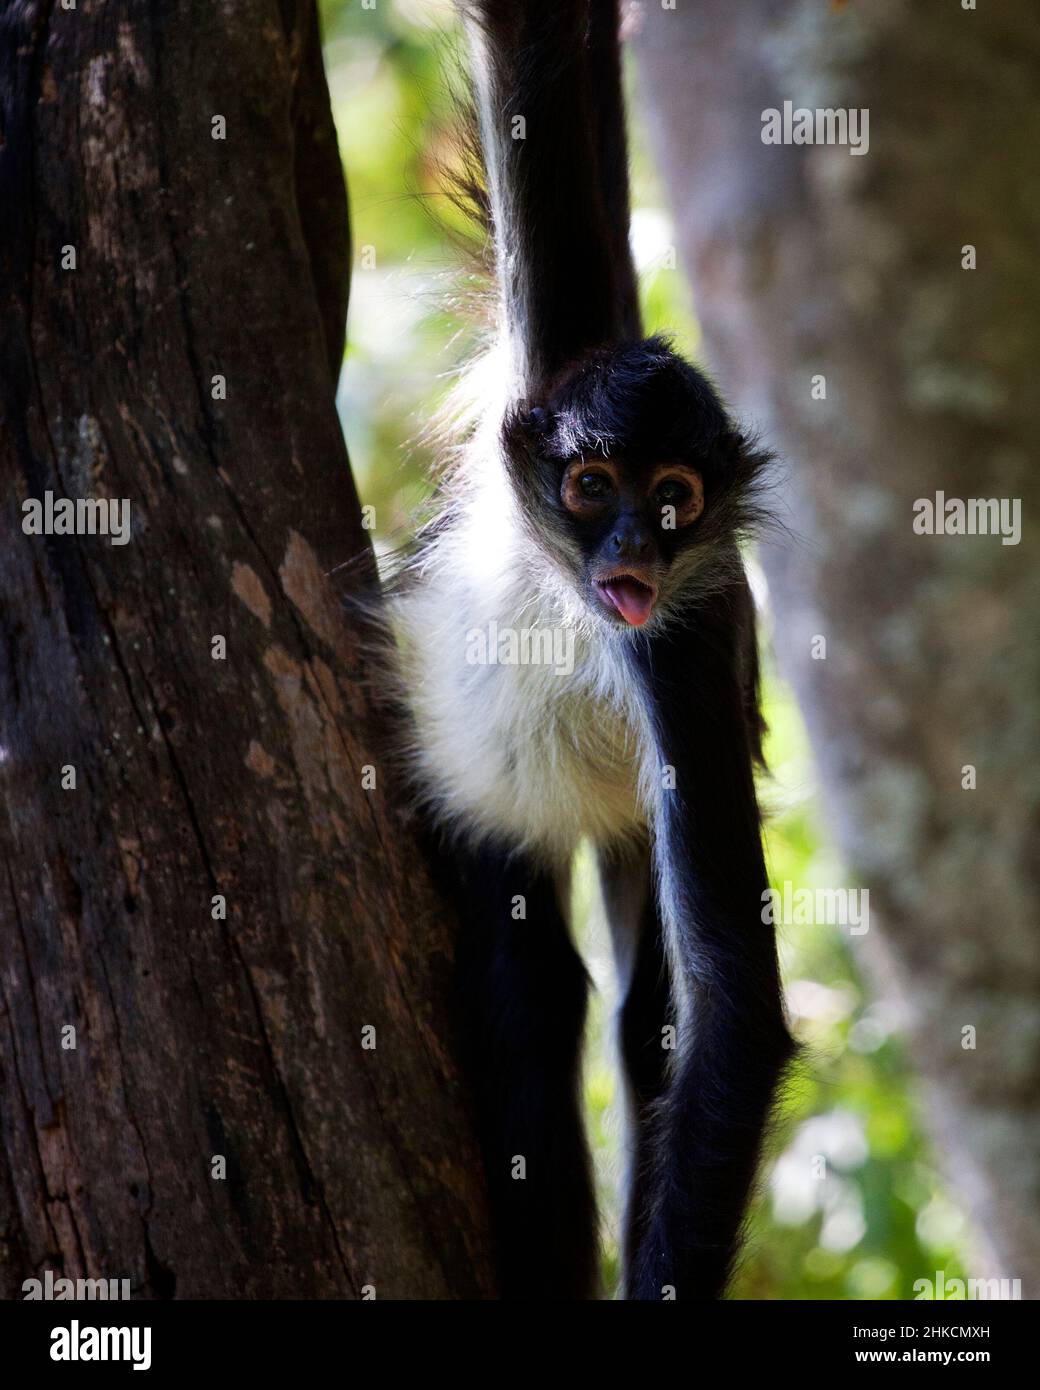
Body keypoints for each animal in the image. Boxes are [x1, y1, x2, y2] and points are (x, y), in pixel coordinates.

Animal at [384, 0, 795, 1300]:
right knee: (533, 986)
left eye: (671, 501)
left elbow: (726, 1015)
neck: (565, 596)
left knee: (629, 1009)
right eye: (588, 484)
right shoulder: (550, 354)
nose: (628, 551)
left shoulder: (678, 647)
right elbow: (534, 49)